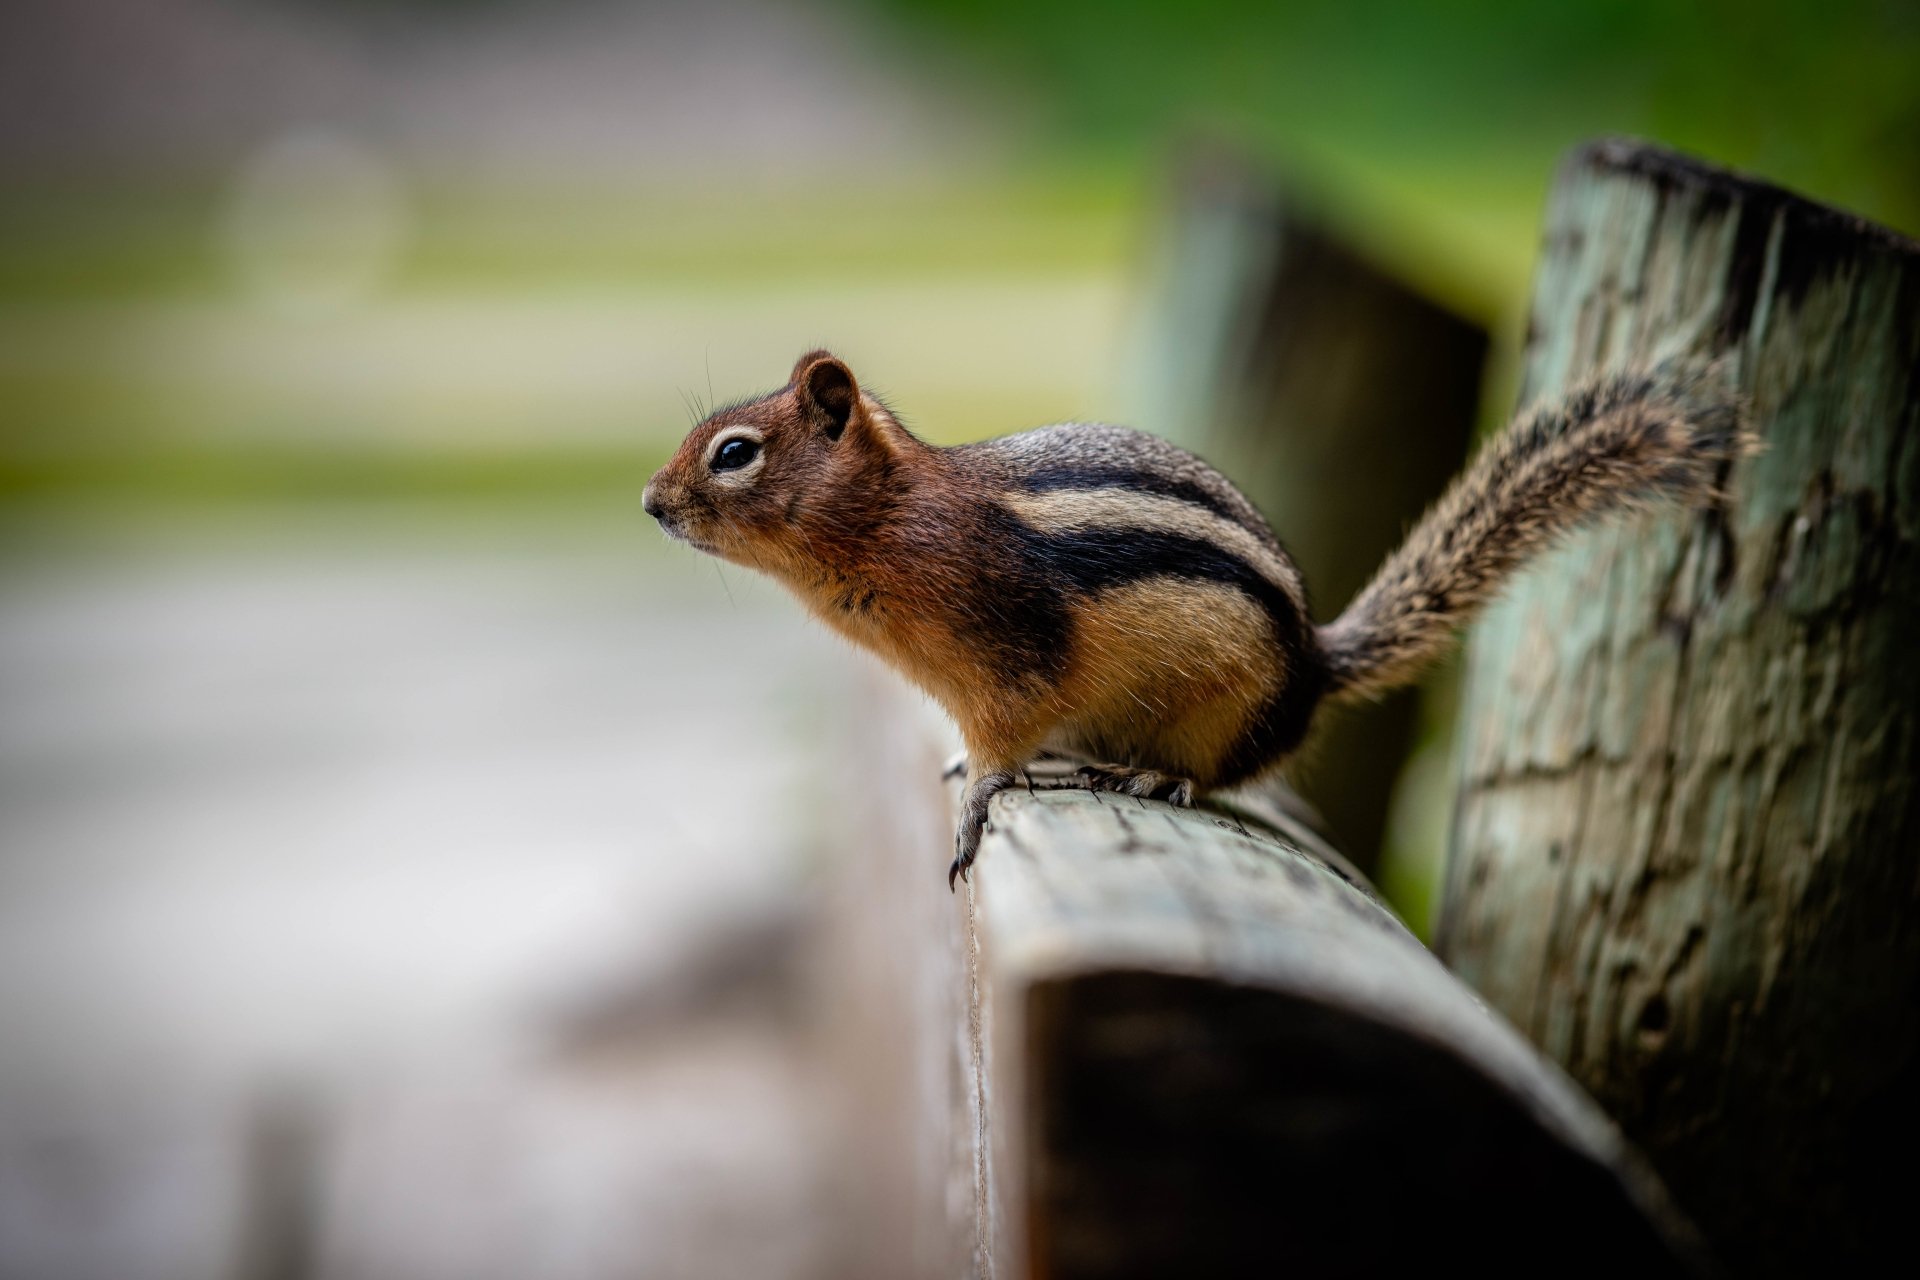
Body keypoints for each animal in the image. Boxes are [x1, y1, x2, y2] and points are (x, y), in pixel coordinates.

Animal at [643, 350, 1750, 889]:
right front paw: (963, 768)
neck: (890, 518)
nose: (652, 503)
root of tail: (1315, 666)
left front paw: (978, 797)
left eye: (734, 452)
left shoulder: (1009, 653)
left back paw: (1151, 775)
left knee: (1212, 775)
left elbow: (1004, 738)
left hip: (1225, 708)